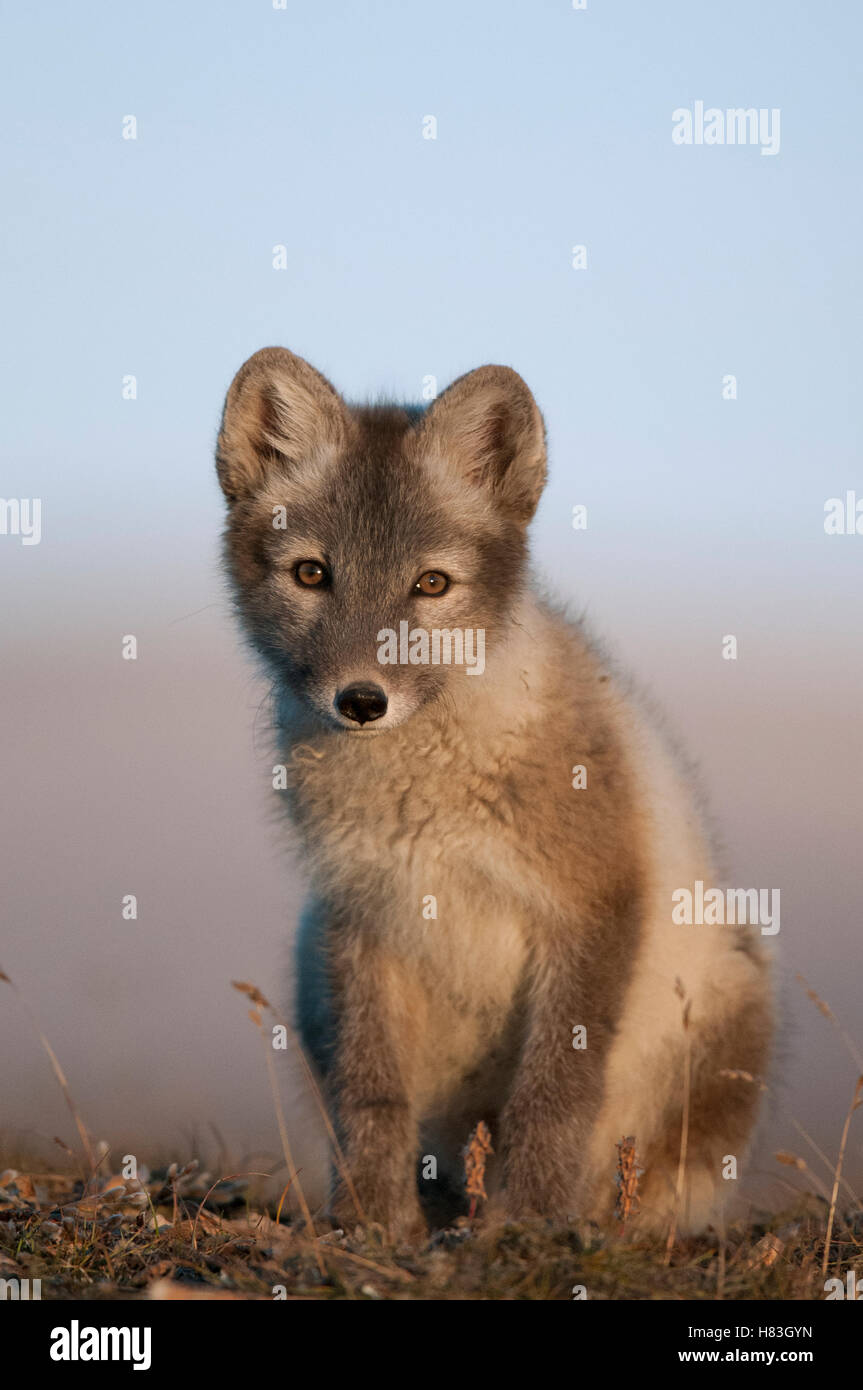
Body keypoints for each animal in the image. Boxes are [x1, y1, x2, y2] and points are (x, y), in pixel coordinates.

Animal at [216, 346, 772, 1239]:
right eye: (311, 573)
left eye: (431, 585)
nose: (361, 701)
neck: (420, 796)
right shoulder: (358, 911)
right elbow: (370, 1094)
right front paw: (371, 1221)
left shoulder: (593, 901)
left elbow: (553, 1092)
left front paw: (525, 1220)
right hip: (309, 961)